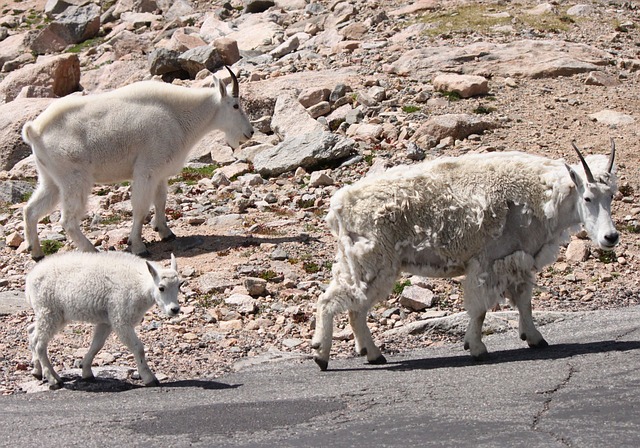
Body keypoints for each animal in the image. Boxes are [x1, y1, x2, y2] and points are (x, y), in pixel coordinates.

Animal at [22, 66, 254, 259]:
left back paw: (36, 253)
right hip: (75, 179)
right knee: (68, 220)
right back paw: (91, 250)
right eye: (235, 105)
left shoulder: (160, 173)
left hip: (51, 179)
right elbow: (140, 207)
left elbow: (160, 201)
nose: (250, 132)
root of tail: (34, 132)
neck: (178, 117)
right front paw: (138, 246)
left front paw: (165, 232)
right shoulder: (146, 170)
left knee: (31, 210)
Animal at [25, 251, 181, 389]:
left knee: (32, 332)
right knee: (40, 343)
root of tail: (30, 278)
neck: (141, 286)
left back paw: (37, 371)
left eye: (180, 285)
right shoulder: (120, 319)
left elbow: (97, 345)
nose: (174, 309)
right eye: (161, 288)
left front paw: (87, 372)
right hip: (48, 311)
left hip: (56, 315)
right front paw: (149, 378)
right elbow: (138, 348)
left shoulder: (106, 321)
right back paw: (53, 379)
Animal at [312, 141, 618, 370]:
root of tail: (338, 205)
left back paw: (372, 354)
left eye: (611, 196)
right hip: (374, 261)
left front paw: (534, 338)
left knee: (354, 308)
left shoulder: (516, 258)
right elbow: (480, 309)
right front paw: (477, 348)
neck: (542, 198)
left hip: (359, 262)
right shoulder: (487, 261)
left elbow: (524, 302)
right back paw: (321, 355)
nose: (610, 237)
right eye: (588, 198)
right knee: (332, 301)